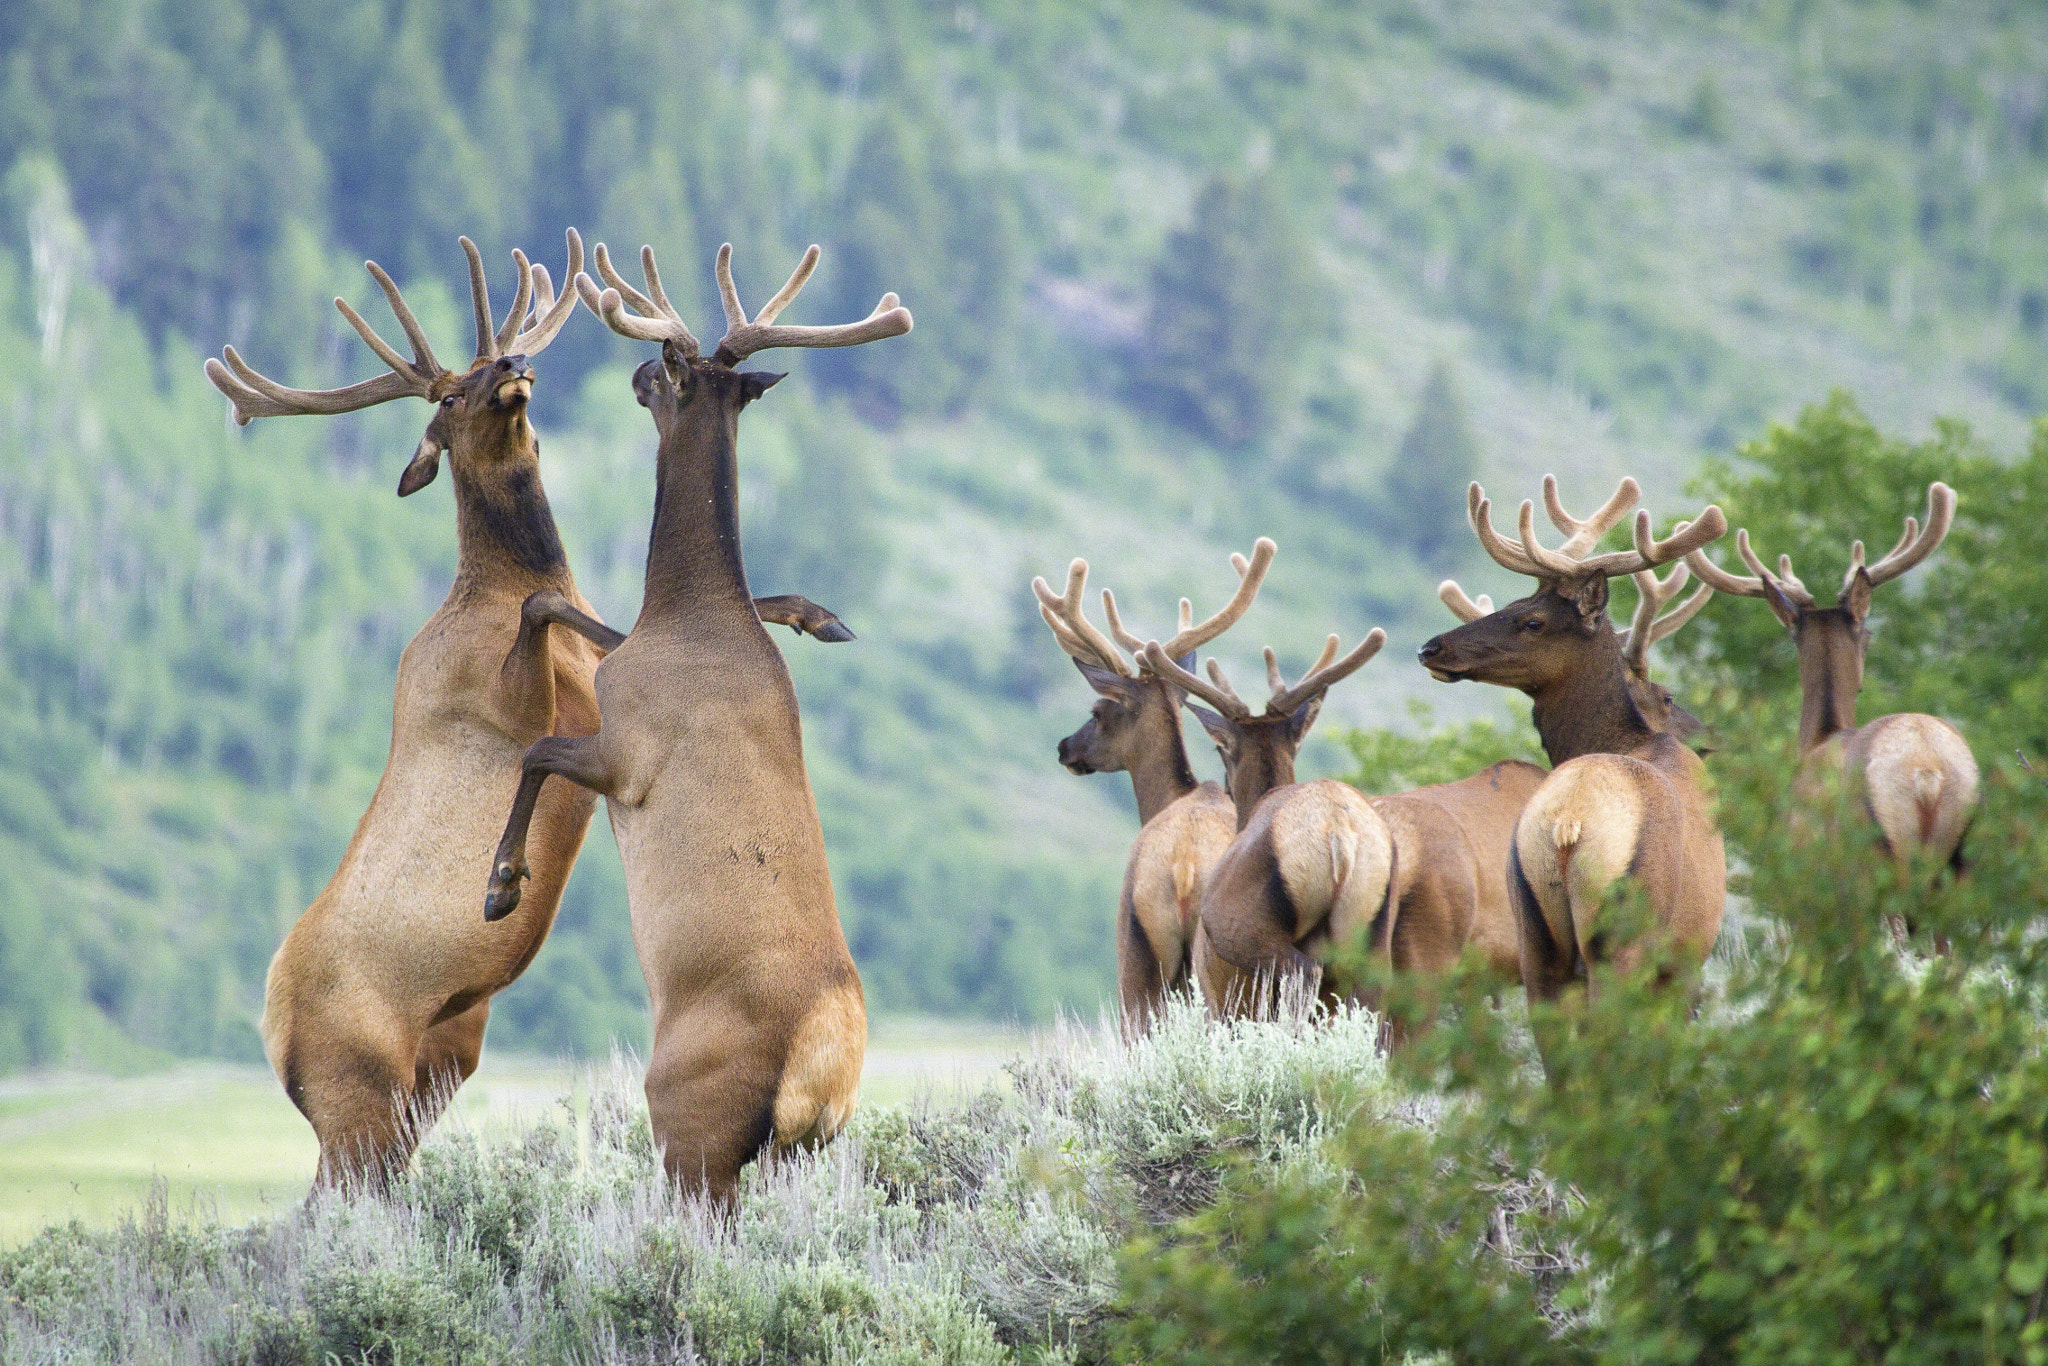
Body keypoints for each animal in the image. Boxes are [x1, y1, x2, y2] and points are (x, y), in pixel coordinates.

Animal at [483, 240, 909, 1204]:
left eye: (671, 365)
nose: (639, 370)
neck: (692, 611)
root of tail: (818, 1070)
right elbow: (563, 609)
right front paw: (822, 617)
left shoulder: (626, 749)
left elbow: (537, 744)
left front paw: (502, 883)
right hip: (803, 1155)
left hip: (689, 1121)